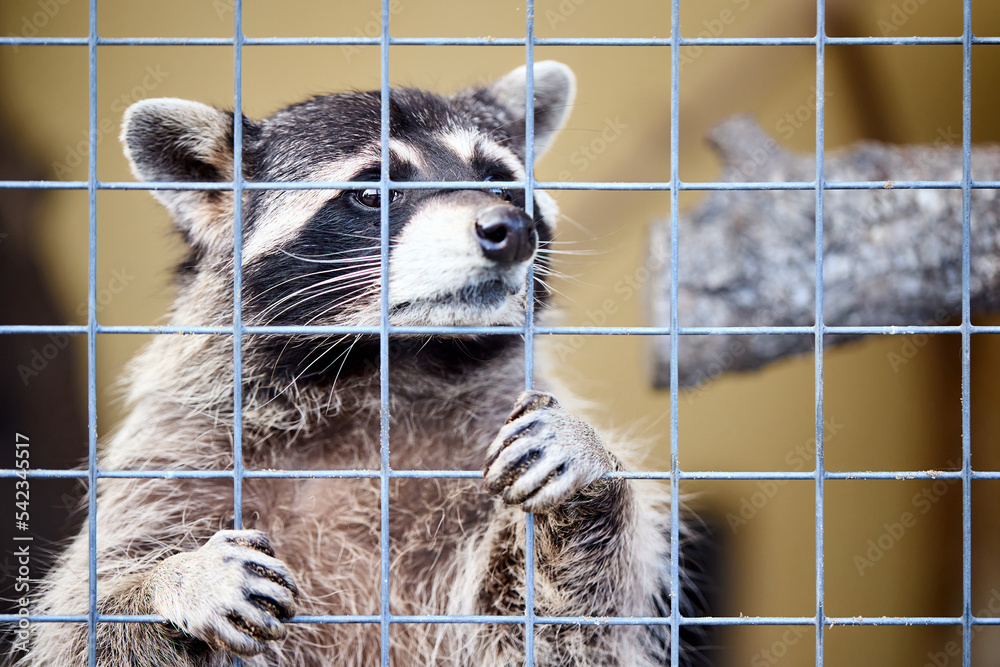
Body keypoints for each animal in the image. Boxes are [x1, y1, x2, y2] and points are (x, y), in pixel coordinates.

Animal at [27, 61, 685, 666]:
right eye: (373, 192)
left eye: (499, 182)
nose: (511, 228)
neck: (387, 368)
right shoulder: (178, 450)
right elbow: (81, 626)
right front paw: (175, 579)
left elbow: (549, 635)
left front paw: (587, 463)